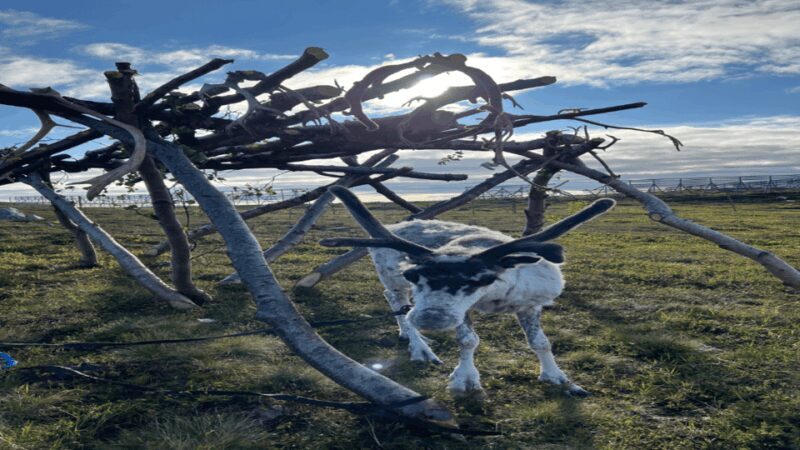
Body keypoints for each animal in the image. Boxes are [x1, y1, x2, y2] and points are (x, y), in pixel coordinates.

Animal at [320, 186, 616, 397]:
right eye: (413, 274)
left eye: (484, 278)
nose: (431, 319)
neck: (496, 300)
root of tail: (396, 227)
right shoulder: (460, 310)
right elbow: (468, 341)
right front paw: (465, 380)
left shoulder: (529, 304)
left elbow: (540, 342)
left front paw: (558, 378)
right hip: (391, 277)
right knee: (397, 301)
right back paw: (420, 347)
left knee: (397, 304)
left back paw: (410, 334)